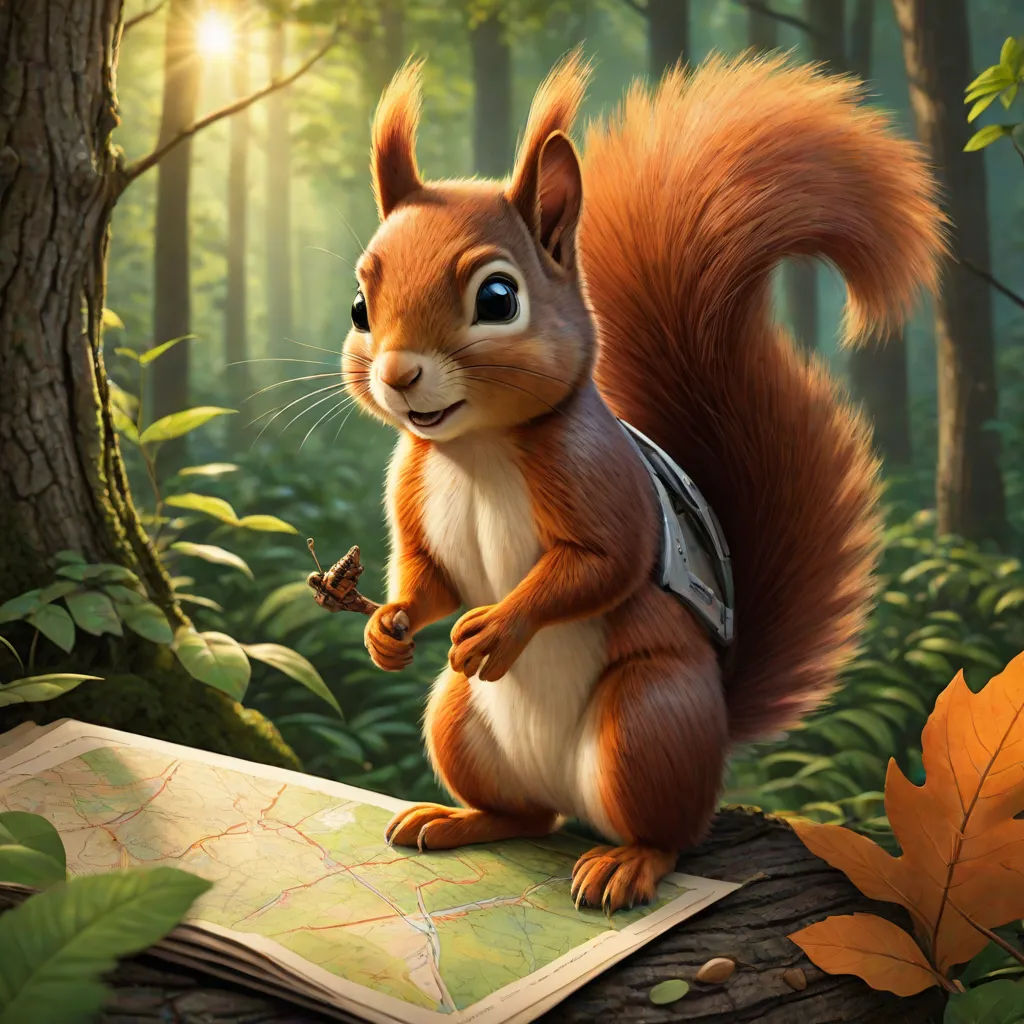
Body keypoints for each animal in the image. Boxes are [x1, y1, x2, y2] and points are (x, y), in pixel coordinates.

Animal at [341, 50, 945, 912]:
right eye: (361, 305)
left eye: (498, 297)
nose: (397, 376)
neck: (476, 448)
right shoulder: (411, 487)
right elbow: (432, 578)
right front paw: (386, 628)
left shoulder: (598, 477)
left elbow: (601, 567)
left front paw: (496, 627)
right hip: (458, 719)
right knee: (526, 818)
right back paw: (456, 819)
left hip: (647, 721)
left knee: (665, 833)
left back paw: (626, 864)